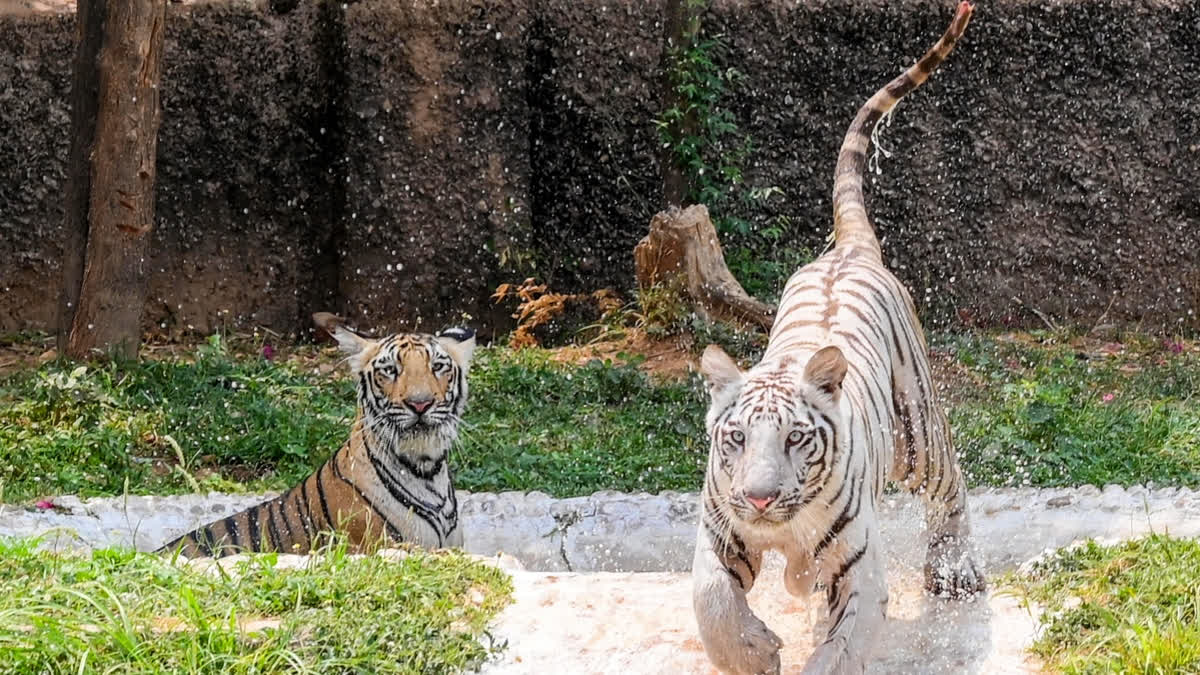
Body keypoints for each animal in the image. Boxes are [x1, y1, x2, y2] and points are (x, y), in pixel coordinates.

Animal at [691, 4, 983, 674]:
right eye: (736, 438)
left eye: (796, 438)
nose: (761, 500)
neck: (780, 530)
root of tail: (848, 249)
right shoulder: (719, 531)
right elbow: (713, 602)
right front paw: (755, 651)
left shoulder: (858, 567)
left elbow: (841, 648)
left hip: (917, 434)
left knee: (950, 486)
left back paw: (954, 571)